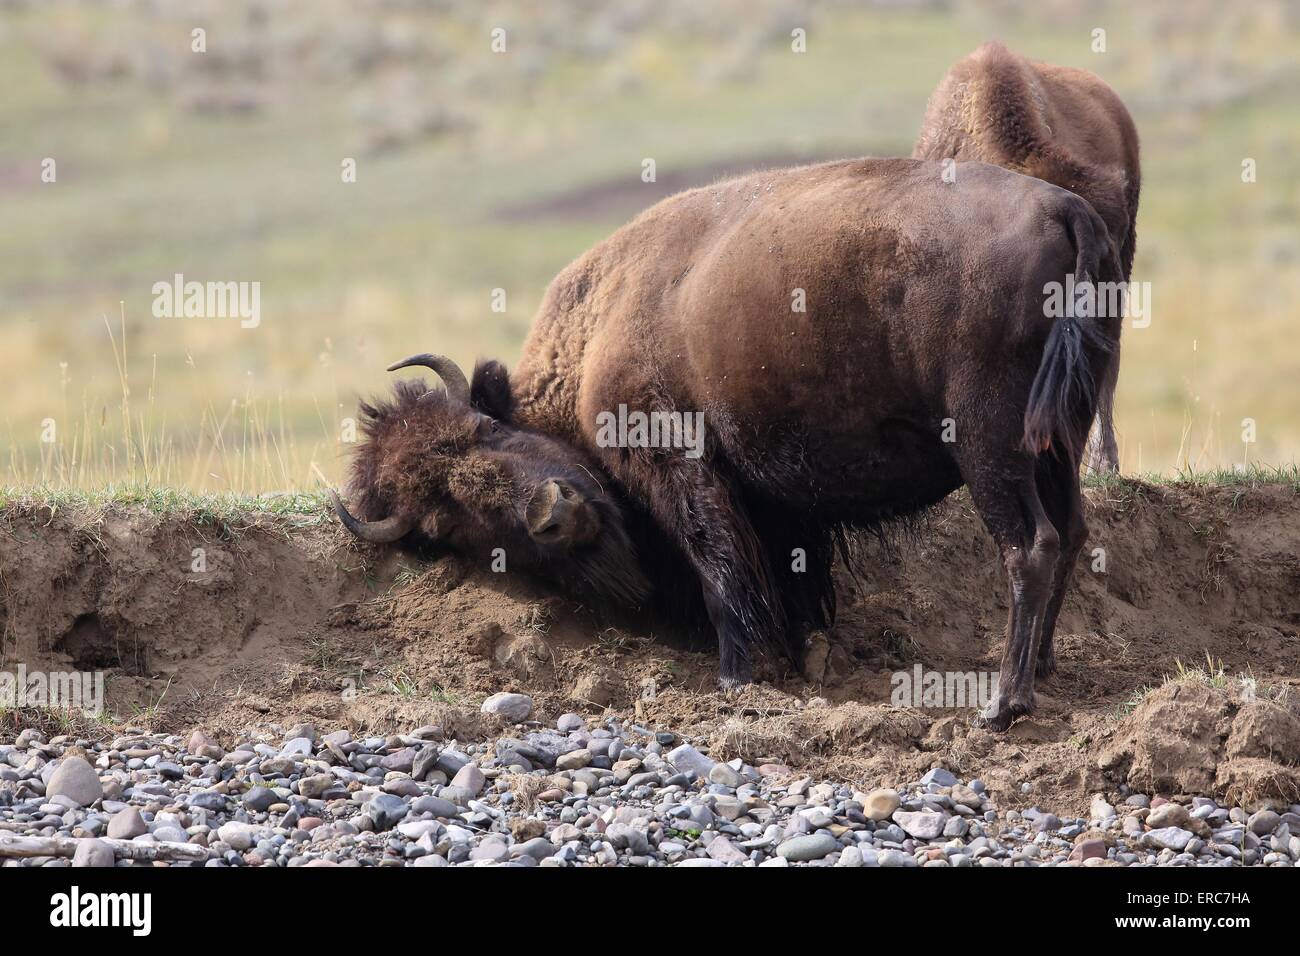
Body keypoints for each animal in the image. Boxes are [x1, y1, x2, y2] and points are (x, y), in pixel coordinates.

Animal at [332, 156, 1121, 731]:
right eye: (448, 524)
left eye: (487, 430)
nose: (552, 513)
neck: (596, 330)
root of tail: (1067, 209)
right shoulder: (771, 500)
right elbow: (780, 574)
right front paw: (800, 657)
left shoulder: (680, 465)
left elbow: (718, 563)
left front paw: (738, 674)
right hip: (1057, 438)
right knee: (1073, 530)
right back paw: (1042, 670)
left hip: (991, 444)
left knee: (1030, 544)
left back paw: (1003, 703)